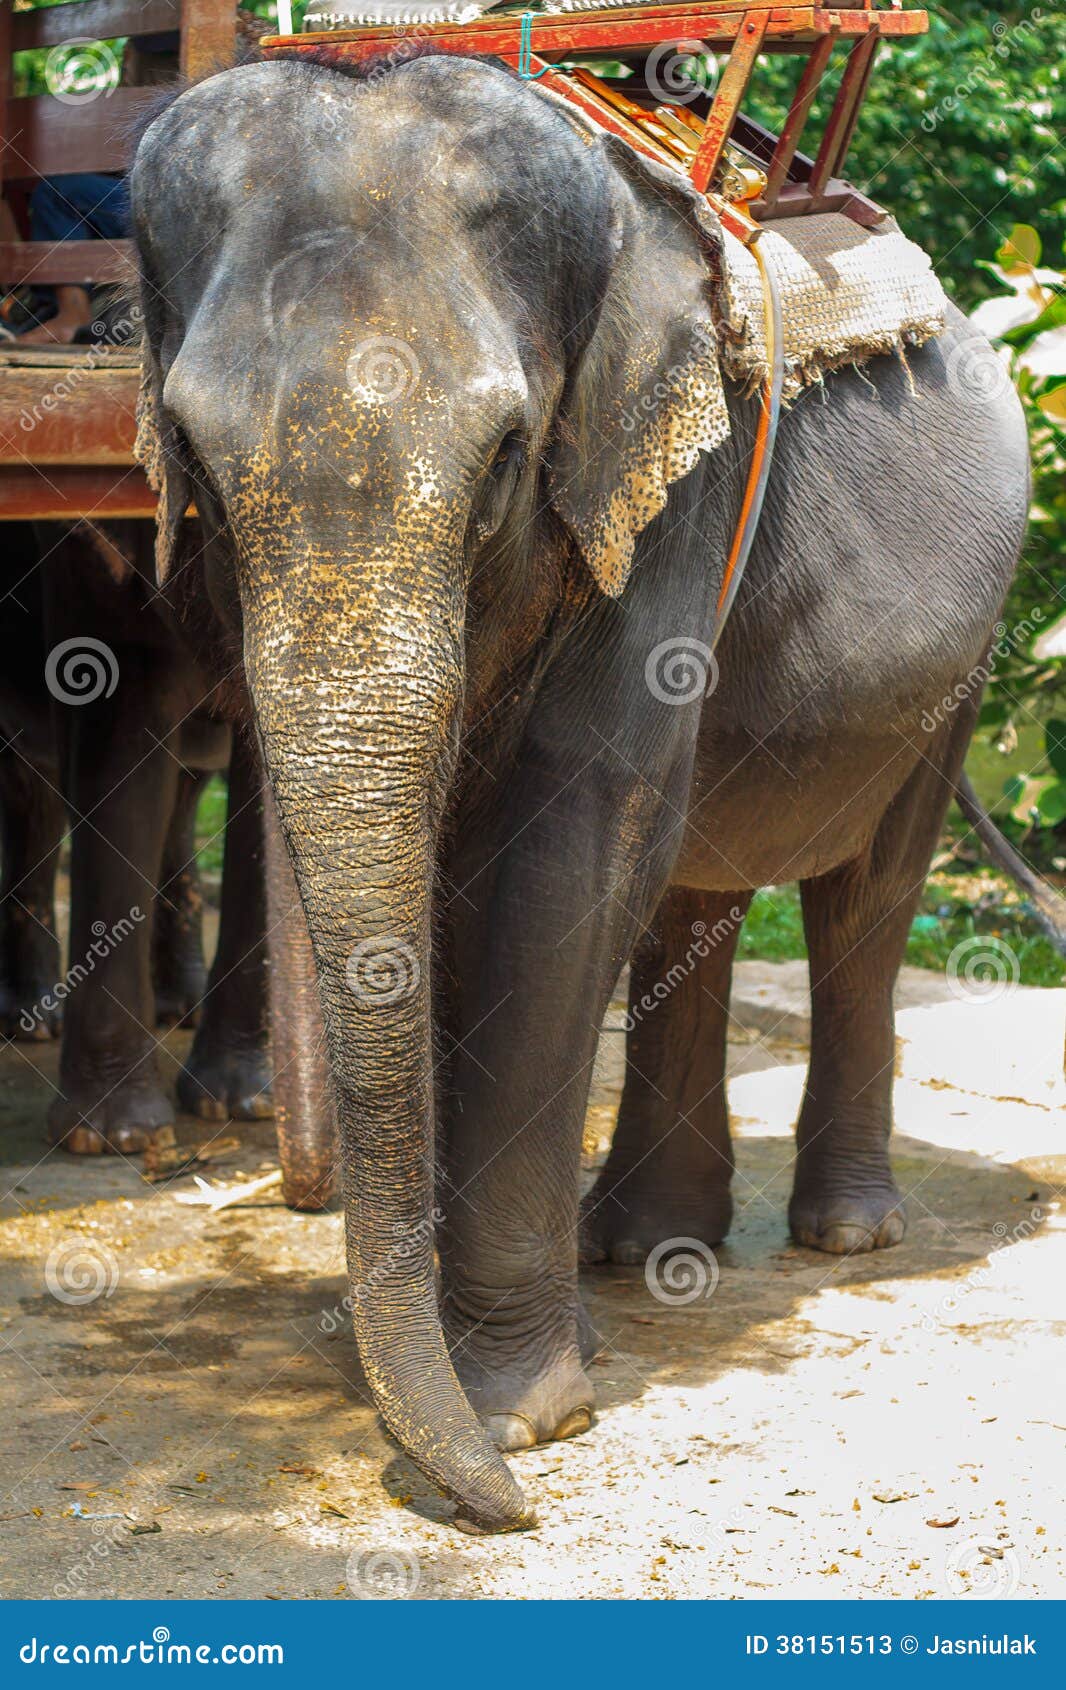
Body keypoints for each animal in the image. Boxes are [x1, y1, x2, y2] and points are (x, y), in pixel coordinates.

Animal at [130, 52, 1029, 1532]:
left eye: (505, 457)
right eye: (195, 468)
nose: (508, 1513)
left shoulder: (671, 489)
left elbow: (566, 834)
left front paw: (515, 1418)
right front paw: (453, 1377)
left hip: (966, 652)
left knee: (861, 898)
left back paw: (844, 1231)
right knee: (686, 894)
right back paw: (643, 1242)